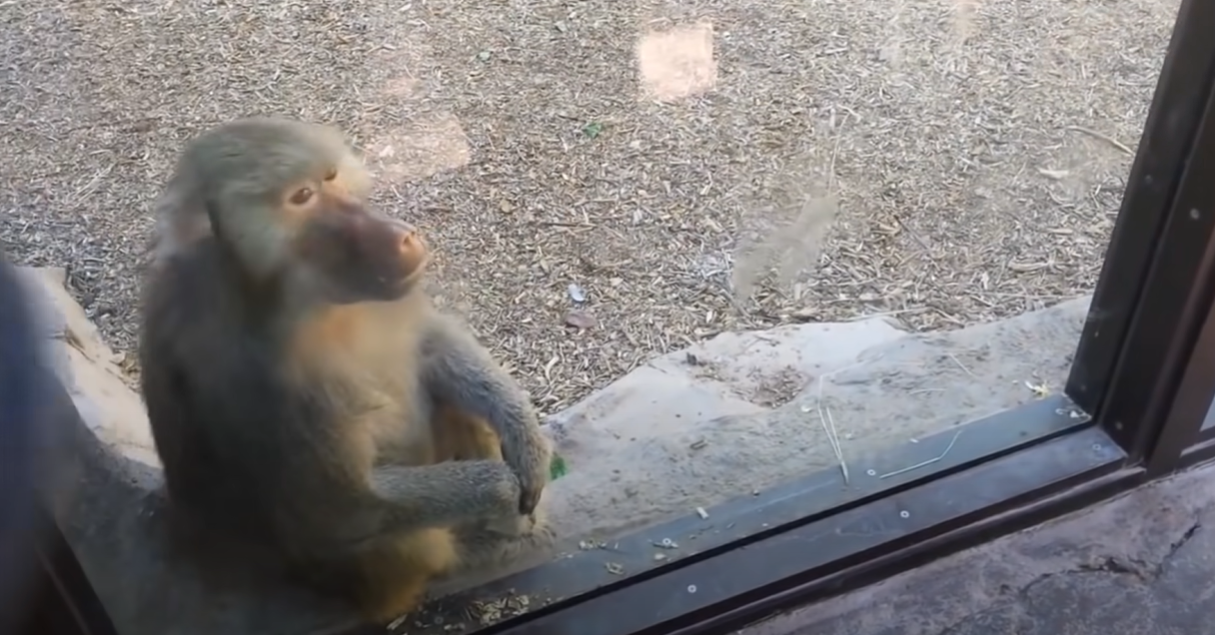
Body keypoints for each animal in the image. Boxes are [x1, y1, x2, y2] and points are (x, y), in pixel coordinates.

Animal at [137, 117, 556, 625]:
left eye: (331, 177)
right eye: (301, 197)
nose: (400, 235)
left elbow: (429, 343)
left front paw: (525, 437)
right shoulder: (255, 378)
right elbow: (341, 510)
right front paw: (502, 497)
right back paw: (472, 548)